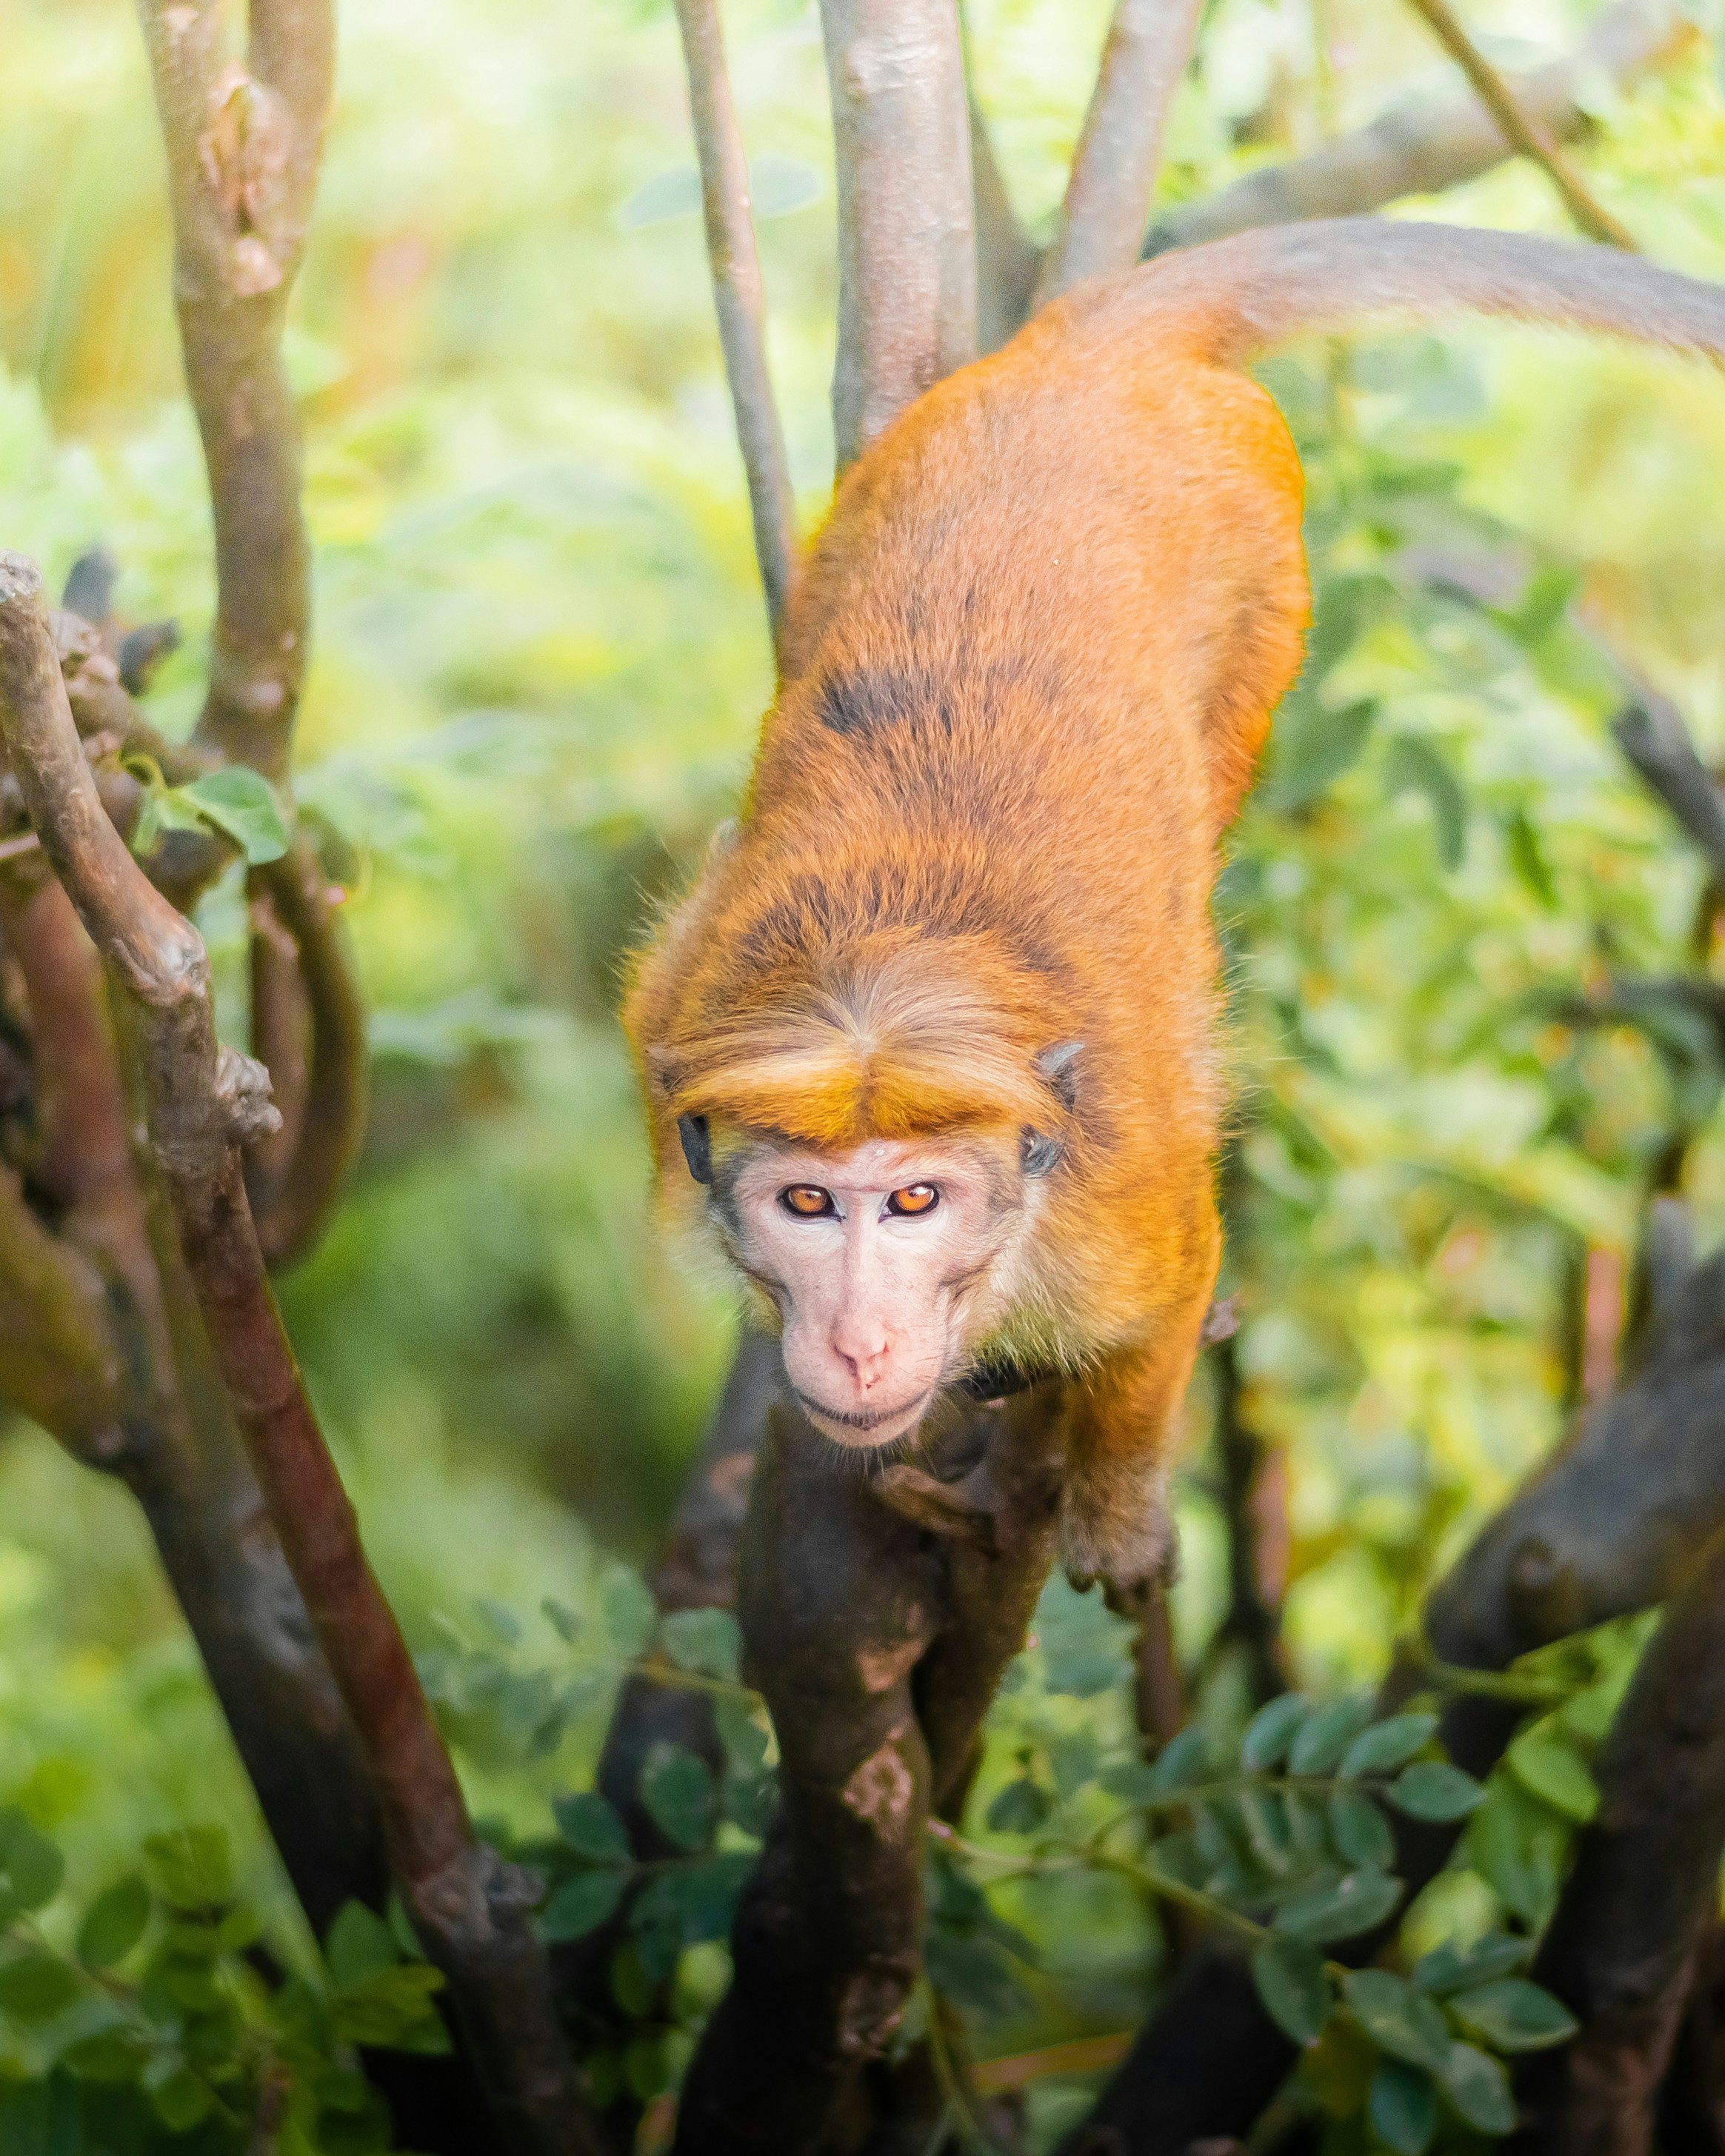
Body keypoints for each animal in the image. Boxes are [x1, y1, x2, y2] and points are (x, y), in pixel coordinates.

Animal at [624, 216, 1725, 1590]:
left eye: (916, 1201)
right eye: (808, 1204)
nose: (860, 1343)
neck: (879, 970)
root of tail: (1090, 356)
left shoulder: (1116, 1202)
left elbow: (1167, 1299)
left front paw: (1113, 1503)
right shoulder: (673, 1017)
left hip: (1264, 554)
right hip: (877, 491)